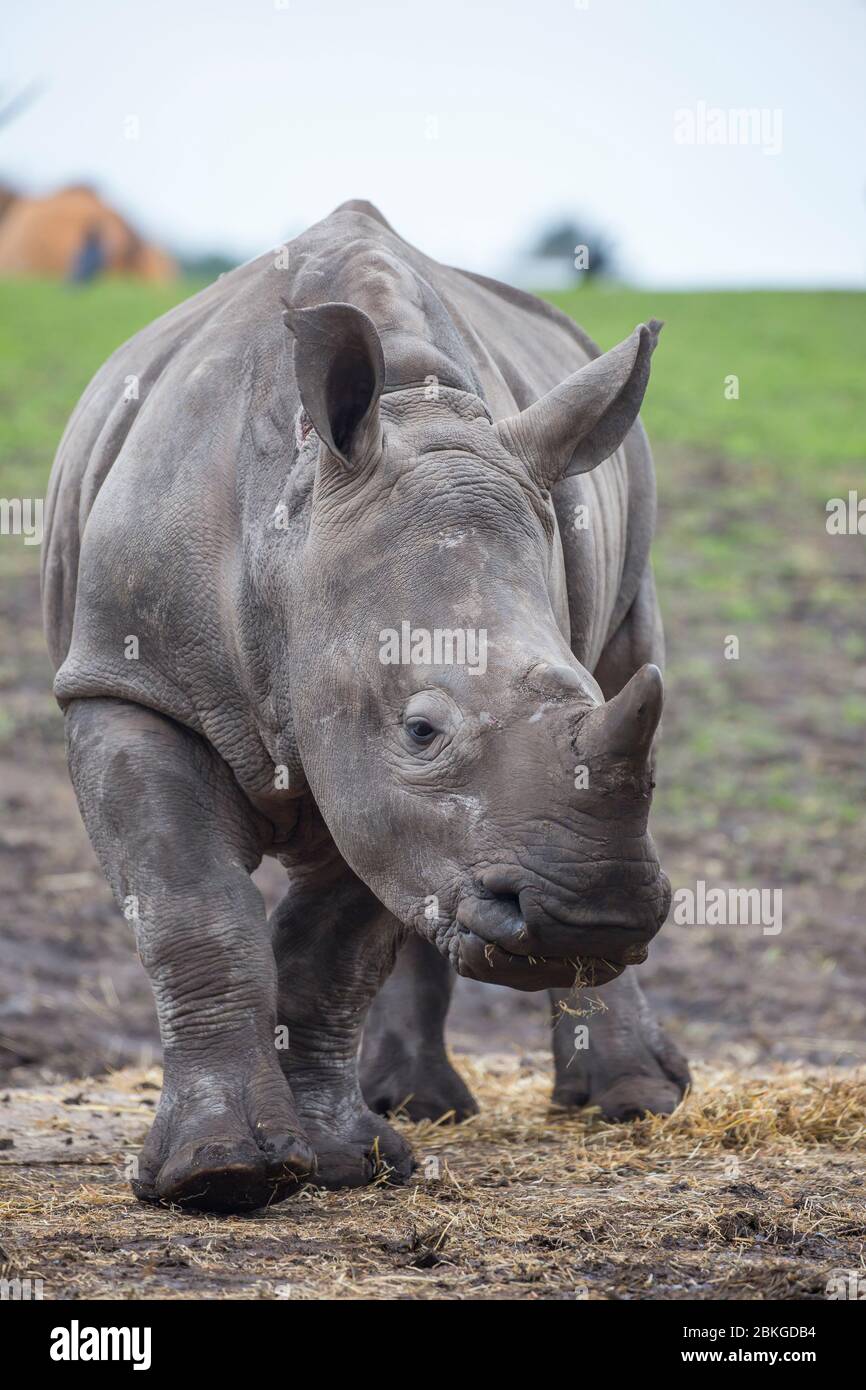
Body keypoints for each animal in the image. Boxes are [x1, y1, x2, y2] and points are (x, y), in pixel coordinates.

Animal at [42, 200, 689, 1214]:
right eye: (421, 730)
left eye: (589, 703)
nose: (592, 917)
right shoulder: (125, 682)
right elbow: (193, 906)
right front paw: (220, 1176)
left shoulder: (370, 775)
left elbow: (335, 943)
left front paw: (346, 1166)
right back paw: (421, 1105)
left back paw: (627, 1103)